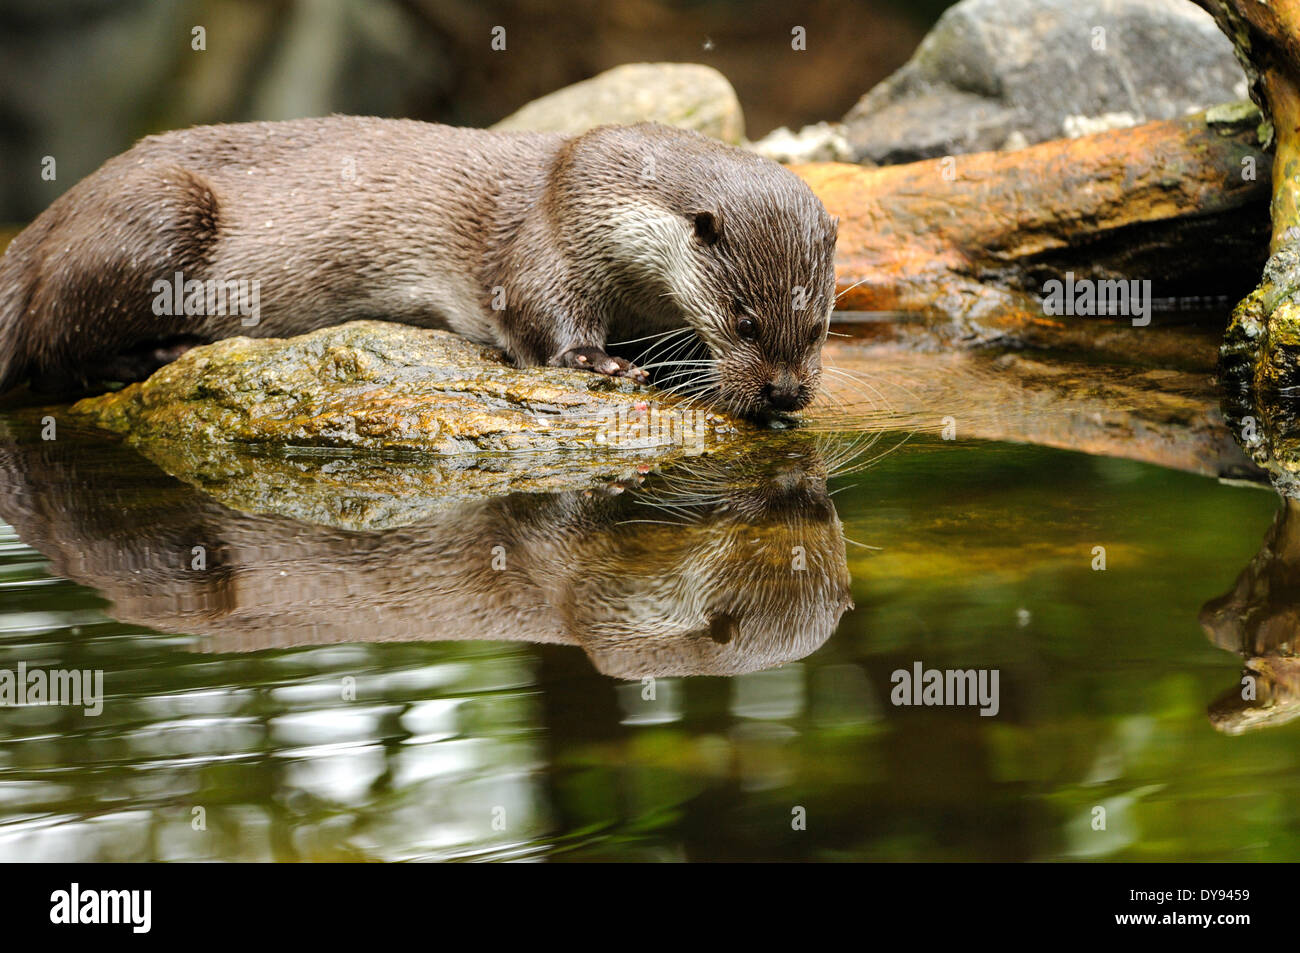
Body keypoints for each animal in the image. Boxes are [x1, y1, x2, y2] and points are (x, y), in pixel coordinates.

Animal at [0, 117, 838, 416]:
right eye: (745, 322)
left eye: (819, 328)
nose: (787, 392)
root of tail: (44, 223)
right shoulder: (547, 242)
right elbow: (539, 320)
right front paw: (600, 362)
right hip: (156, 211)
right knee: (49, 344)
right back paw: (152, 355)